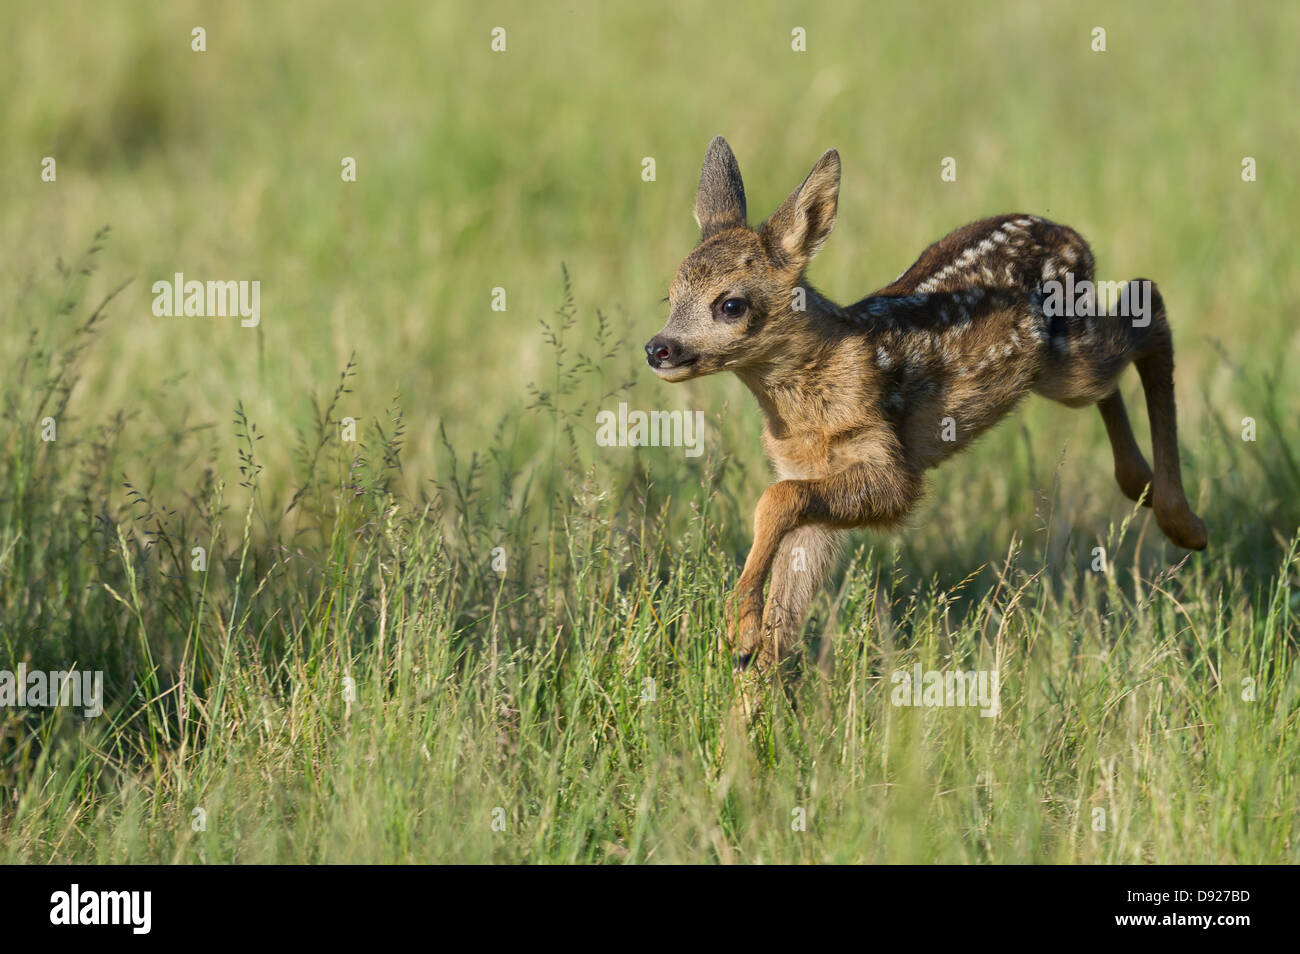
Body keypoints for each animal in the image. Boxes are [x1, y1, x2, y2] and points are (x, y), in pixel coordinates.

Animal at [645, 136, 1207, 675]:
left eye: (731, 304)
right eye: (670, 296)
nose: (658, 348)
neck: (814, 398)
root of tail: (1071, 234)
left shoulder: (891, 468)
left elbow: (776, 499)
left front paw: (738, 625)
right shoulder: (811, 479)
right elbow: (780, 628)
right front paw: (747, 661)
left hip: (1071, 365)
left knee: (1149, 304)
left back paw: (1184, 523)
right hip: (1063, 370)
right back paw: (1142, 484)